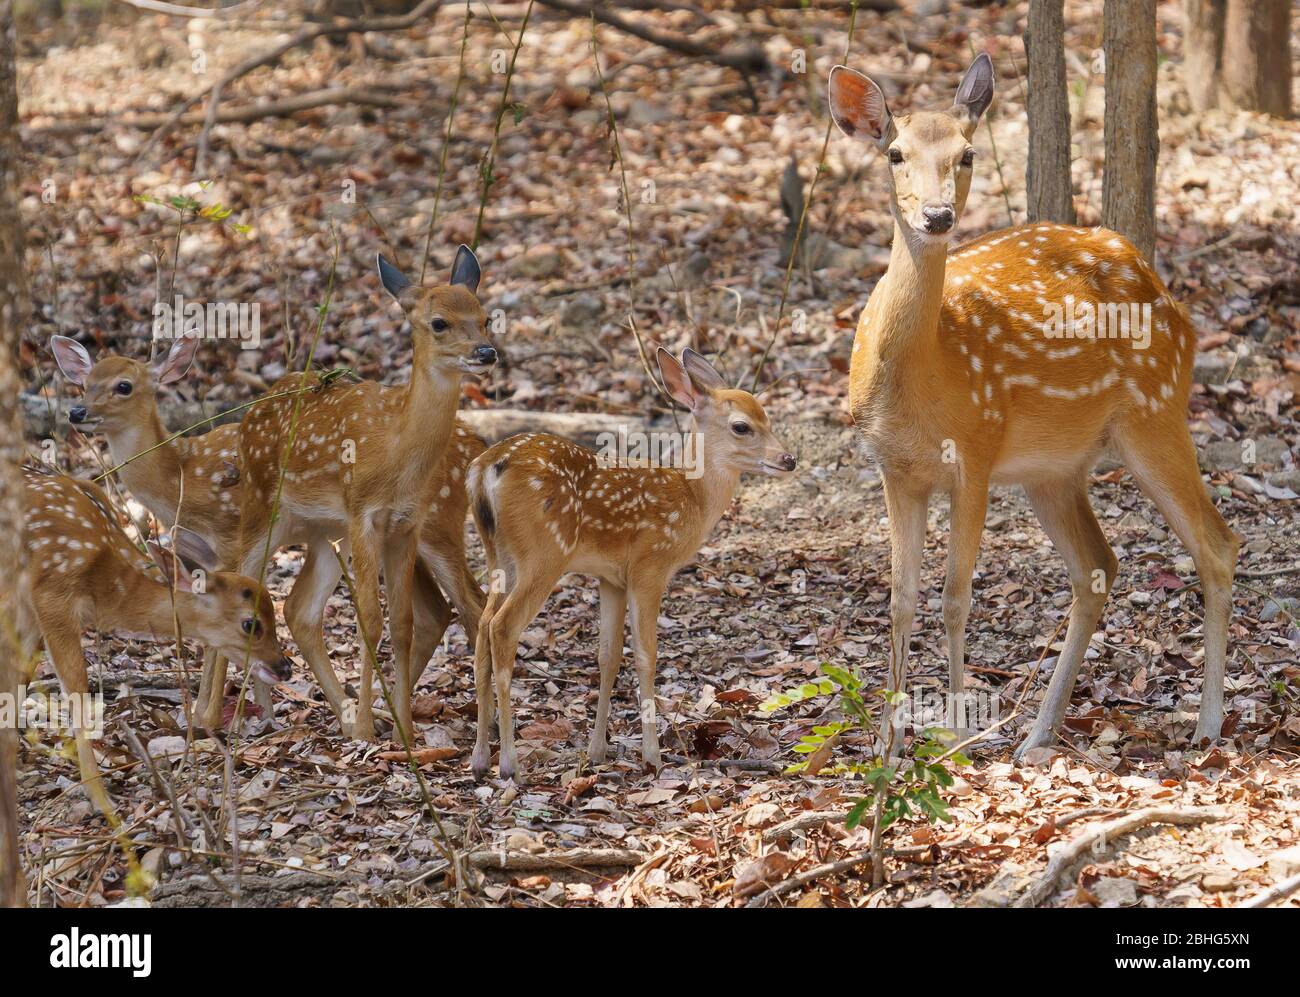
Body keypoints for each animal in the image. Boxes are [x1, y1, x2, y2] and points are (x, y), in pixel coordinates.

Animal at [15, 466, 290, 815]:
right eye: (251, 624)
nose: (284, 668)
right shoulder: (51, 596)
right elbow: (76, 688)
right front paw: (100, 798)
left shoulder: (29, 611)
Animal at [49, 334, 486, 733]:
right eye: (84, 382)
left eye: (123, 385)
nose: (77, 412)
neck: (180, 480)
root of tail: (477, 443)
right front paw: (255, 710)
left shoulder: (230, 537)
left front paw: (210, 717)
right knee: (425, 610)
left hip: (433, 522)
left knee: (472, 602)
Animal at [235, 245, 495, 742]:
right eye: (439, 323)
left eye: (486, 317)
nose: (486, 351)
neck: (394, 449)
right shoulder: (363, 515)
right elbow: (370, 622)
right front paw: (370, 730)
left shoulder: (406, 523)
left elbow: (403, 623)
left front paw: (401, 730)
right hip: (267, 513)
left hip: (330, 530)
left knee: (298, 606)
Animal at [467, 348, 796, 782]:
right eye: (742, 426)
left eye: (768, 418)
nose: (788, 459)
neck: (691, 498)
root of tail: (486, 468)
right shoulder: (649, 567)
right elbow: (646, 654)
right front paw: (652, 755)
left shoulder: (612, 578)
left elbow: (608, 655)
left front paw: (596, 751)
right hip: (543, 554)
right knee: (502, 628)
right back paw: (509, 764)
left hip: (498, 554)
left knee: (482, 627)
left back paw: (478, 759)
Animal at [826, 54, 1239, 759]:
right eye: (894, 153)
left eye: (966, 154)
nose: (937, 216)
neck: (924, 377)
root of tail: (1168, 293)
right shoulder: (893, 469)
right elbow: (901, 599)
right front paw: (886, 748)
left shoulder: (976, 452)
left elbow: (955, 596)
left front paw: (956, 738)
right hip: (1054, 469)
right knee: (1098, 566)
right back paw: (1037, 733)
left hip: (1155, 412)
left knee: (1218, 545)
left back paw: (1208, 725)